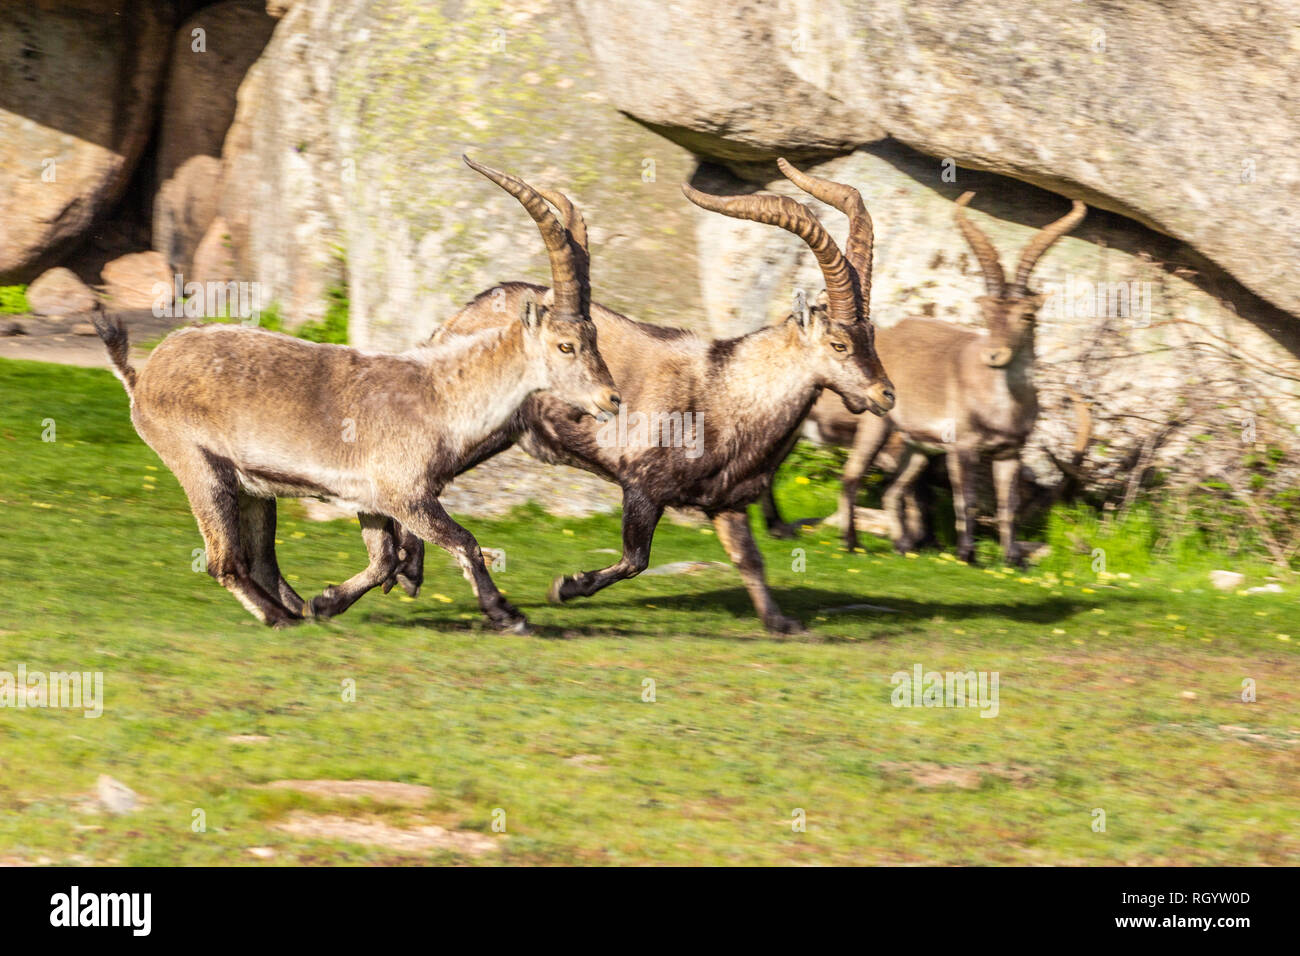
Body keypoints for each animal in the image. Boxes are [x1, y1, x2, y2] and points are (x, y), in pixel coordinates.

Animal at [93, 157, 620, 632]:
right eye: (566, 345)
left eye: (595, 337)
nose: (611, 399)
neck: (442, 397)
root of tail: (144, 375)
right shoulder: (405, 495)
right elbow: (464, 542)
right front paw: (507, 614)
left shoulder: (371, 500)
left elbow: (384, 558)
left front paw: (327, 602)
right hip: (199, 467)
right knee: (224, 560)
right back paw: (277, 618)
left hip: (254, 487)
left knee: (262, 559)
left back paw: (294, 608)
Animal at [376, 159, 895, 633]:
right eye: (839, 344)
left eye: (872, 335)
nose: (885, 394)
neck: (726, 390)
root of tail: (457, 319)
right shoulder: (642, 485)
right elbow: (635, 558)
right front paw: (565, 586)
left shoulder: (726, 502)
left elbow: (750, 559)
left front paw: (781, 623)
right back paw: (408, 571)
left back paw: (407, 571)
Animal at [763, 192, 1086, 563]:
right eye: (987, 311)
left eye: (1028, 315)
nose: (994, 356)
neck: (1003, 404)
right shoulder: (962, 444)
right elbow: (965, 499)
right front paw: (967, 555)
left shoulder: (1009, 451)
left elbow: (1006, 505)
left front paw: (1012, 559)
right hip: (872, 426)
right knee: (847, 476)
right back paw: (838, 539)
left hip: (913, 446)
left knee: (891, 491)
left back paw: (896, 545)